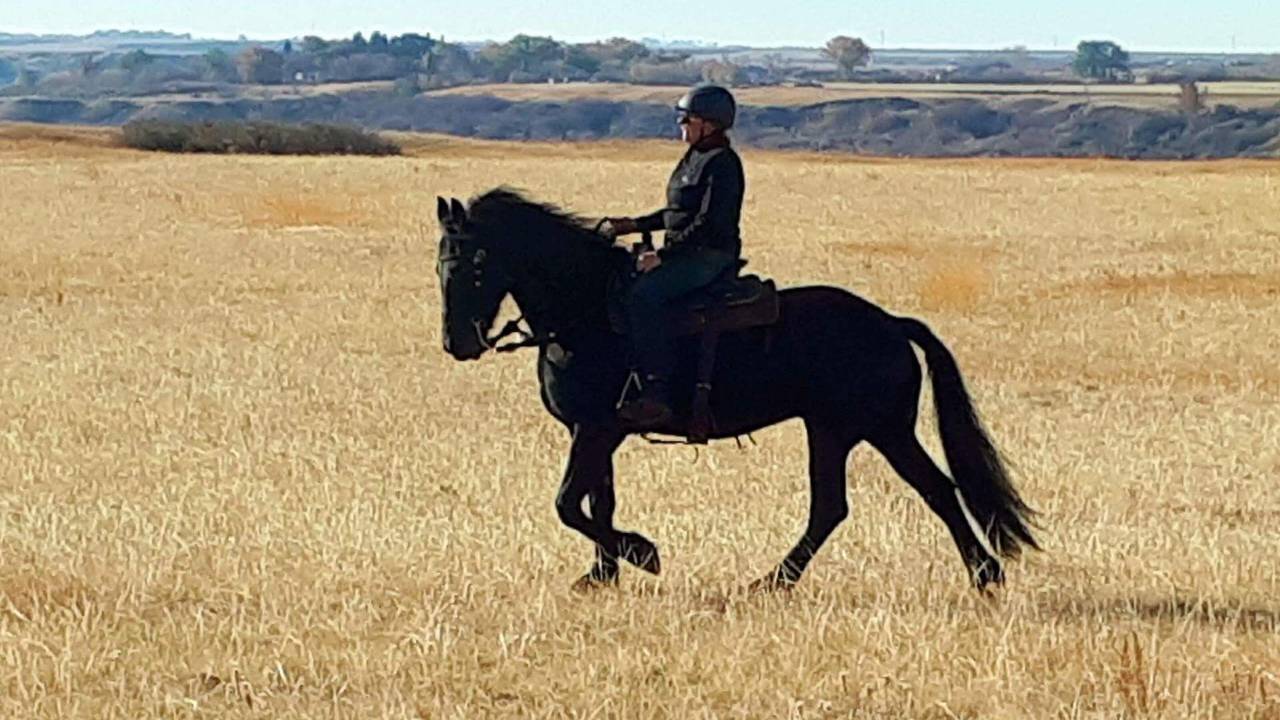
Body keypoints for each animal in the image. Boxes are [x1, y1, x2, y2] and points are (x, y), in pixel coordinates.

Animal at [434, 188, 1039, 592]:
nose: (456, 343)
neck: (588, 314)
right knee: (835, 507)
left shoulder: (598, 429)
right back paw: (775, 582)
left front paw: (643, 553)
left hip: (879, 429)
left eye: (476, 265)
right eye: (441, 266)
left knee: (932, 491)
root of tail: (890, 323)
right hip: (834, 430)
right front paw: (602, 574)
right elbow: (597, 501)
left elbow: (566, 503)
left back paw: (984, 575)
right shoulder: (595, 433)